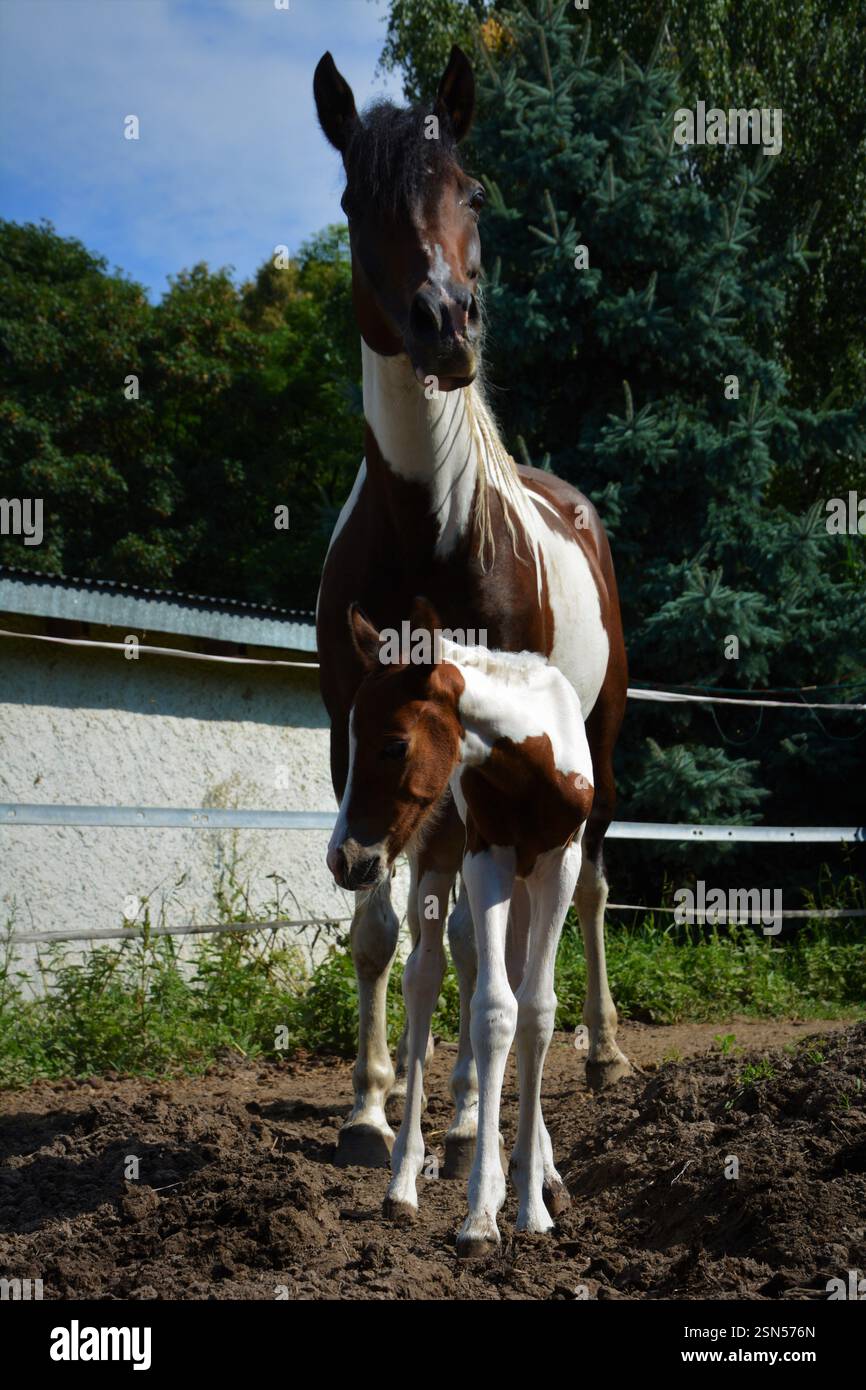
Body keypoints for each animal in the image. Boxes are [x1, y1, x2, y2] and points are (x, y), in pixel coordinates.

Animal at [313, 44, 631, 1175]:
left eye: (474, 192)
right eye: (354, 200)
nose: (446, 324)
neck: (430, 528)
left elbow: (471, 933)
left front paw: (461, 1119)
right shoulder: (355, 731)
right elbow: (381, 927)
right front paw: (371, 1111)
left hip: (598, 739)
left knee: (584, 890)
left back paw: (601, 1057)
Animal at [327, 600, 595, 1254]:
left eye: (394, 745)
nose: (343, 859)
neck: (532, 762)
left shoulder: (560, 862)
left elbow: (537, 1010)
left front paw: (532, 1201)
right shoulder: (485, 856)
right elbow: (494, 1011)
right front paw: (480, 1215)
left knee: (496, 972)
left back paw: (536, 1170)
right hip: (435, 848)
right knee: (425, 975)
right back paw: (404, 1183)